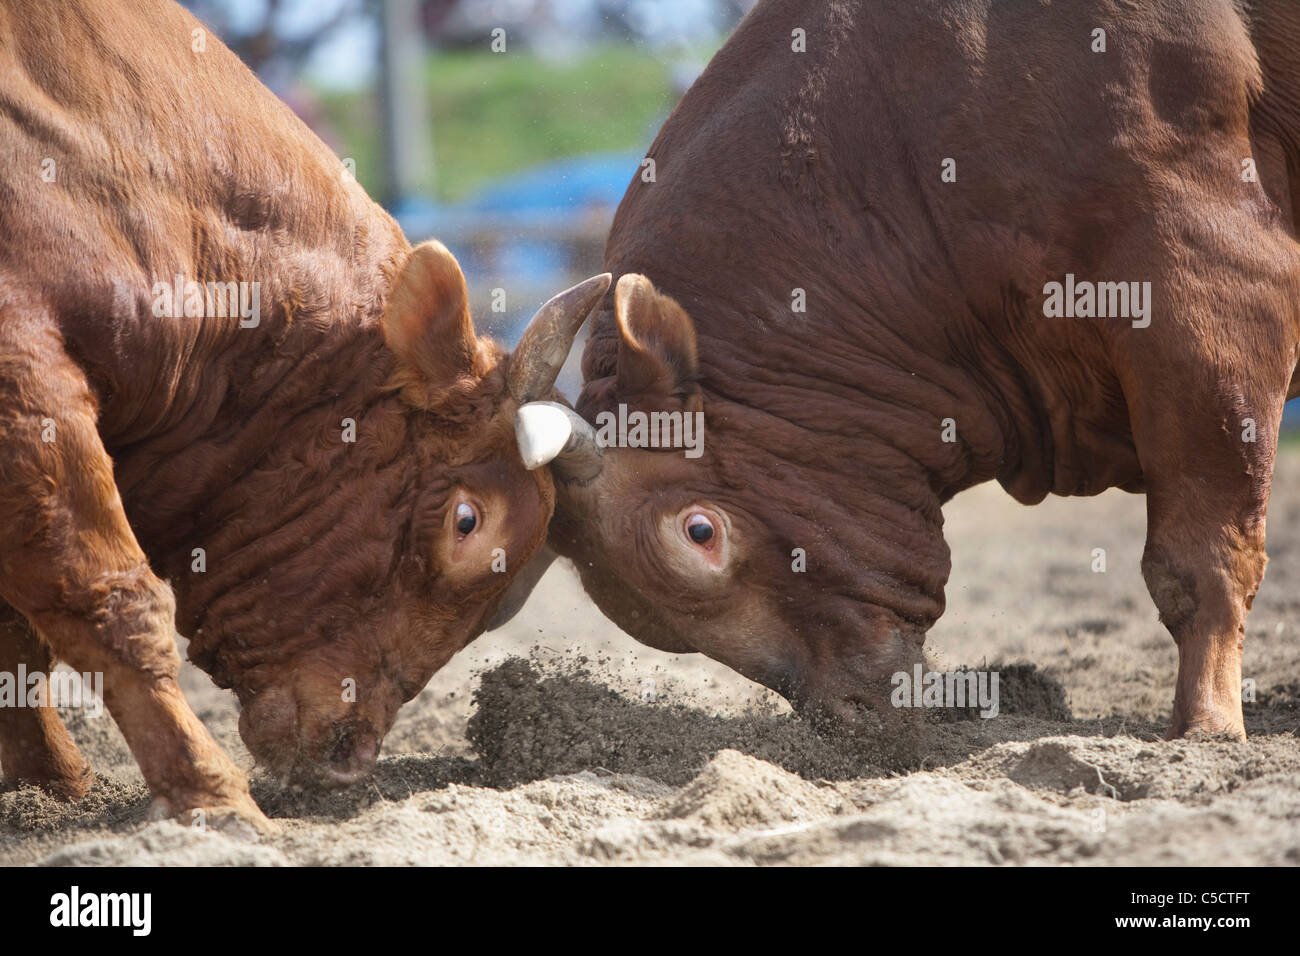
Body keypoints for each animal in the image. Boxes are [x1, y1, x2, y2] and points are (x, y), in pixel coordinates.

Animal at [0, 0, 608, 831]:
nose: (353, 754)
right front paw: (211, 796)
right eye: (467, 521)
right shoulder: (25, 376)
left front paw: (45, 781)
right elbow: (106, 598)